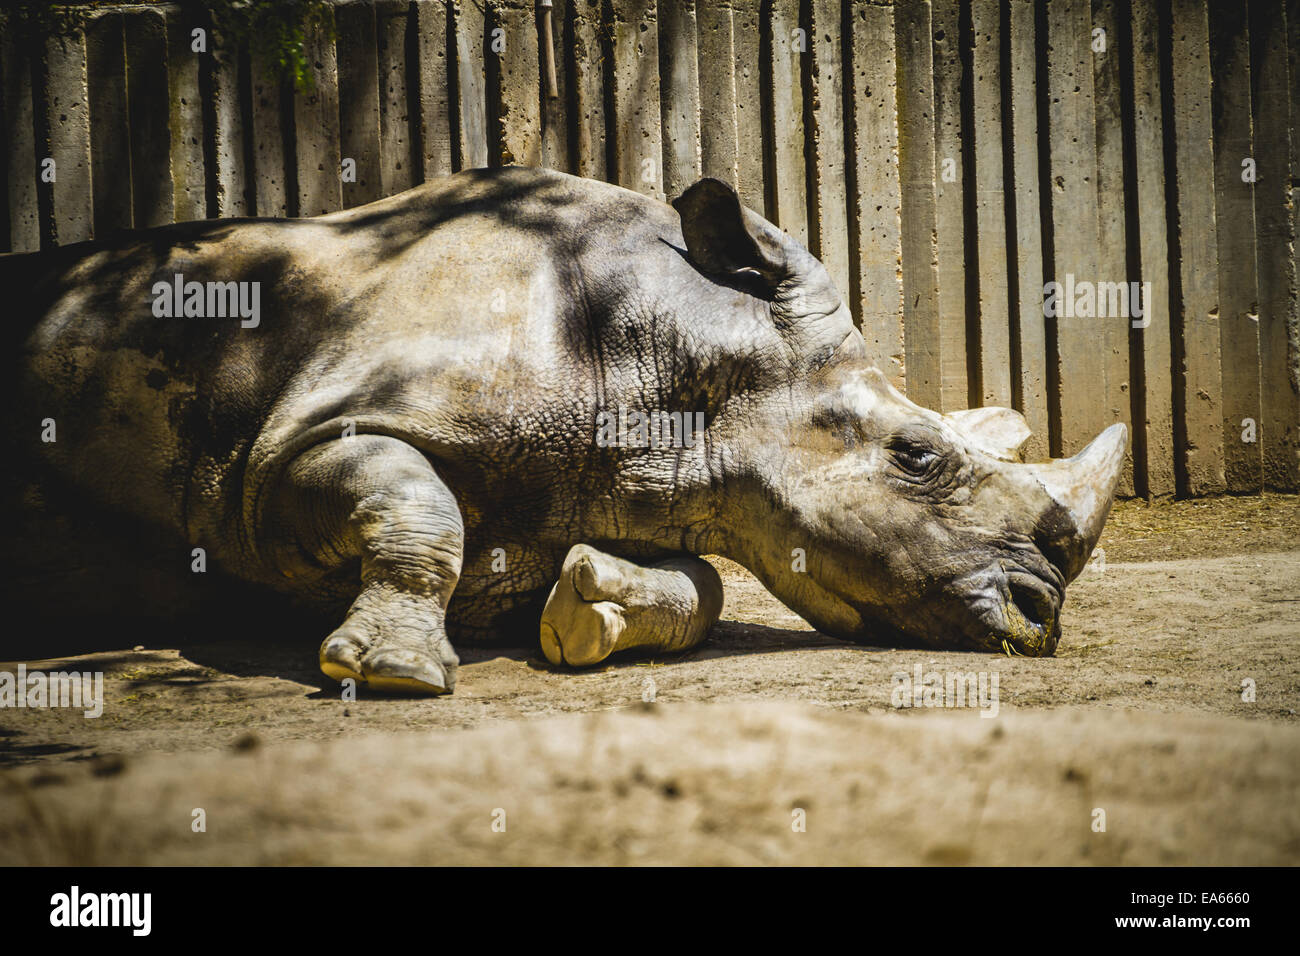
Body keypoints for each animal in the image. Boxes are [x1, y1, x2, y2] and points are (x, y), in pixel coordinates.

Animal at [4, 167, 1125, 694]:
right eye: (917, 456)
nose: (1042, 615)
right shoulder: (279, 460)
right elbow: (418, 507)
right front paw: (392, 672)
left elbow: (703, 581)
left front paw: (585, 610)